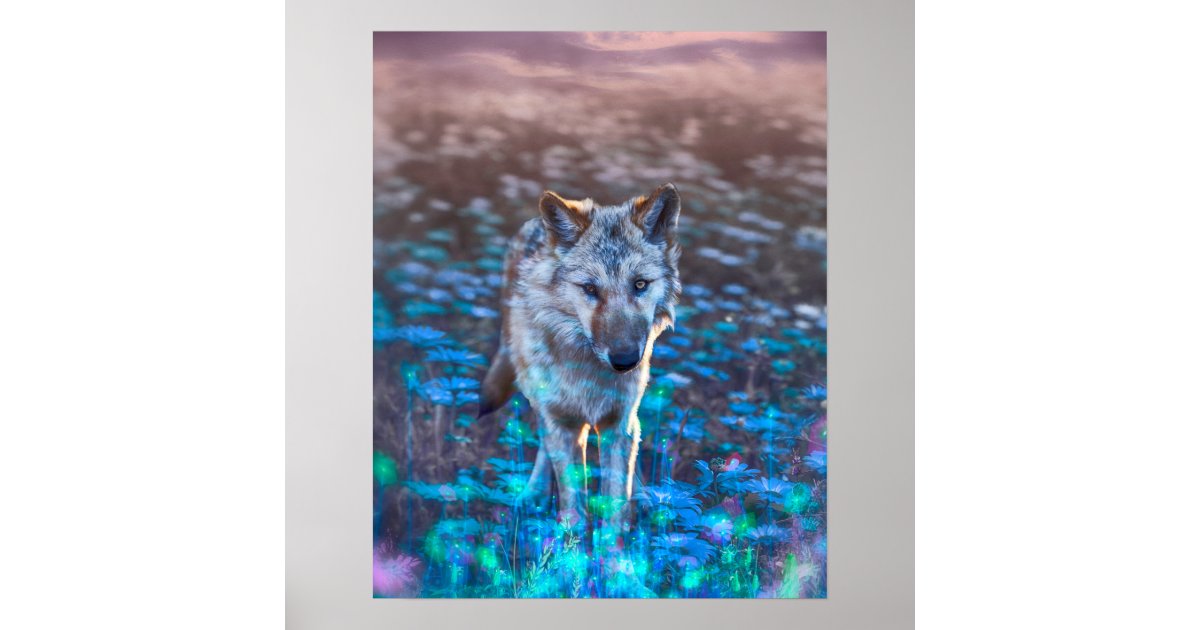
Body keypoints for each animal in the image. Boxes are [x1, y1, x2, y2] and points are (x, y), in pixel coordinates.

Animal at [479, 183, 682, 533]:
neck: (589, 375)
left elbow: (616, 506)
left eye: (640, 284)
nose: (625, 360)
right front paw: (569, 545)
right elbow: (574, 508)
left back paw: (643, 496)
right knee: (545, 445)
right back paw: (533, 493)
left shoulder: (618, 423)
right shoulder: (562, 423)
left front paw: (617, 546)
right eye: (589, 288)